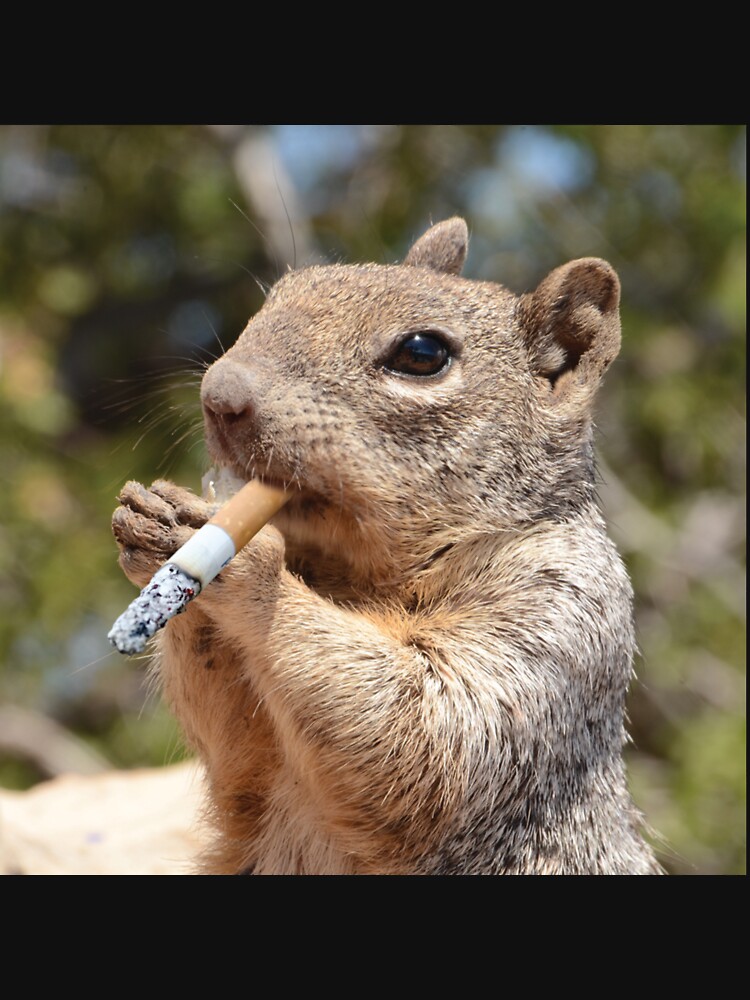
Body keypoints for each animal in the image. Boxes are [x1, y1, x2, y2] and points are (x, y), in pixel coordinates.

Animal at [112, 218, 663, 875]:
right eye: (280, 294)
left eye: (422, 353)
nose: (218, 395)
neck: (356, 575)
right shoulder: (253, 769)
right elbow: (233, 745)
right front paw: (157, 513)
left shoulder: (560, 617)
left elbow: (431, 736)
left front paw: (243, 559)